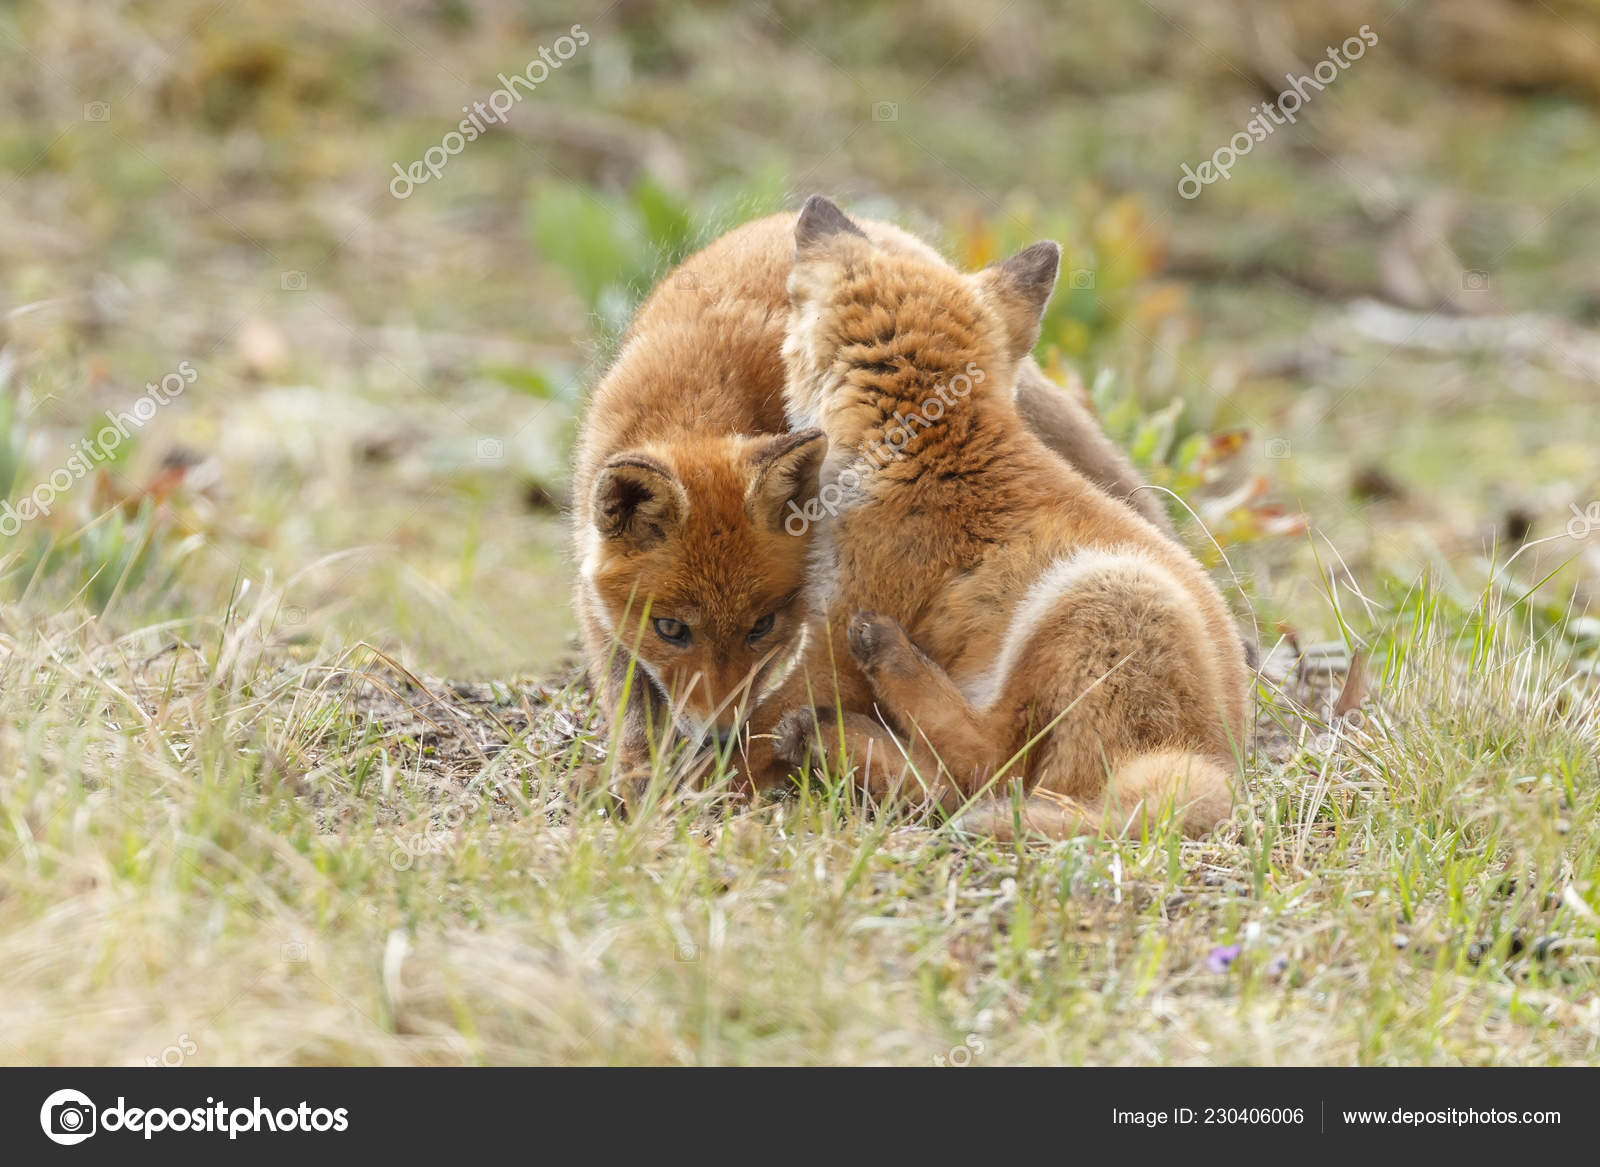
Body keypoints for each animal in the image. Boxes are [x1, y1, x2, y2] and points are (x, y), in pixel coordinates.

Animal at [572, 204, 1177, 784]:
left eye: (761, 627)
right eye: (671, 629)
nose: (715, 738)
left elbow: (766, 722)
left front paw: (695, 787)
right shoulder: (597, 585)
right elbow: (629, 699)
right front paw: (635, 779)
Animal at [760, 197, 1250, 837]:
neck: (931, 450)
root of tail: (1222, 768)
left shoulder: (839, 617)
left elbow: (755, 719)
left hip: (1097, 599)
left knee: (988, 765)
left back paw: (869, 692)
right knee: (960, 788)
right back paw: (841, 744)